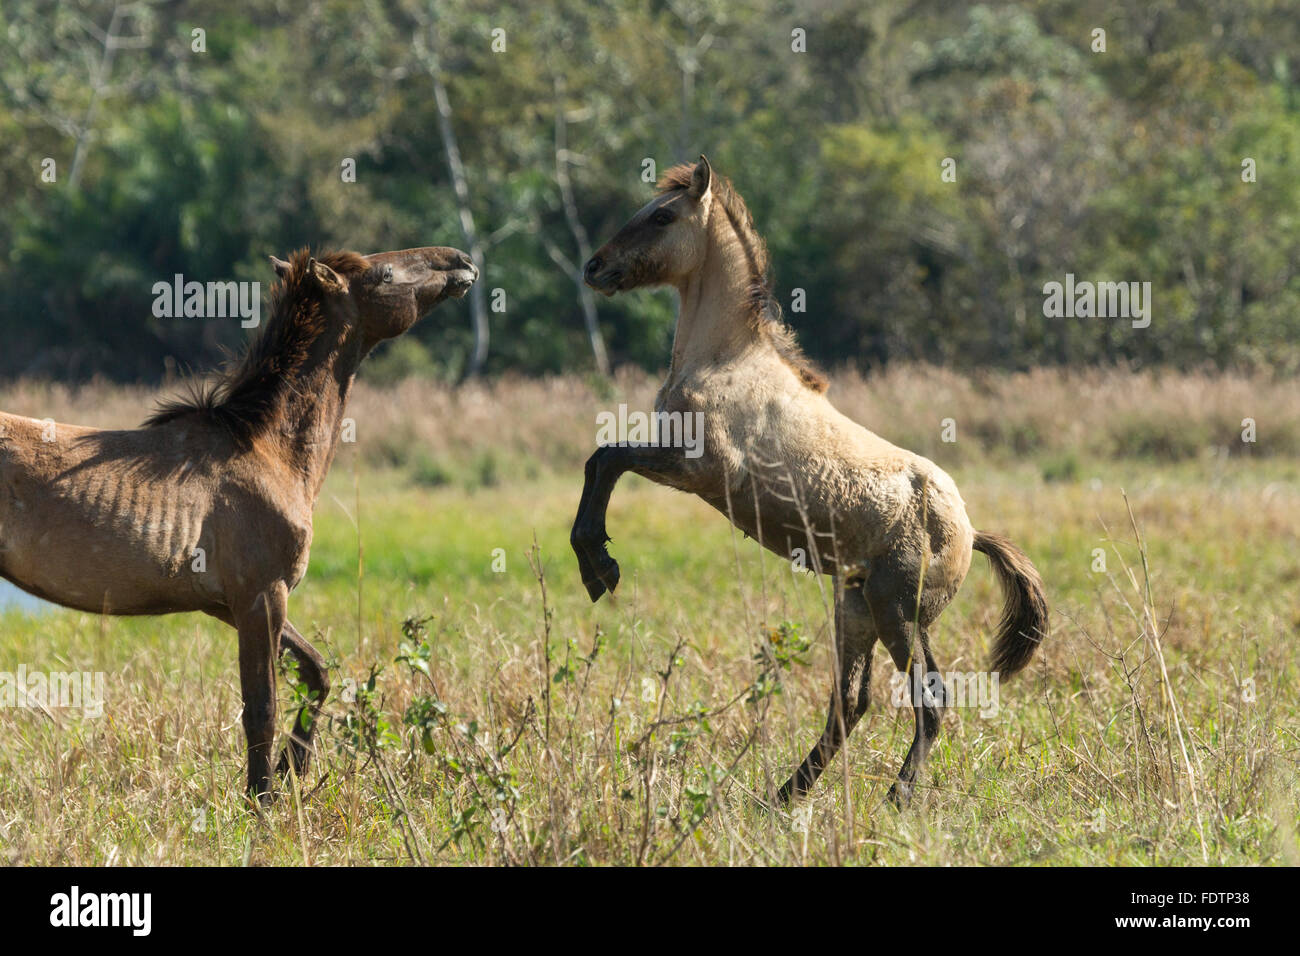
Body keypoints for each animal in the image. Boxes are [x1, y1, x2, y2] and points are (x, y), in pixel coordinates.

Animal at [0, 245, 477, 806]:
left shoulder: (229, 603)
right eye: (383, 272)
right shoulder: (261, 595)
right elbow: (262, 709)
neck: (268, 448)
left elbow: (316, 672)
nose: (461, 262)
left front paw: (295, 769)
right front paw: (262, 802)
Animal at [571, 157, 1048, 806]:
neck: (726, 360)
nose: (594, 267)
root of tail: (970, 534)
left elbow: (606, 459)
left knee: (928, 698)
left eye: (662, 216)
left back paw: (896, 797)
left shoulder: (697, 469)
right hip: (858, 609)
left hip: (897, 610)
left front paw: (599, 566)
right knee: (851, 703)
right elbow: (602, 461)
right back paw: (783, 796)